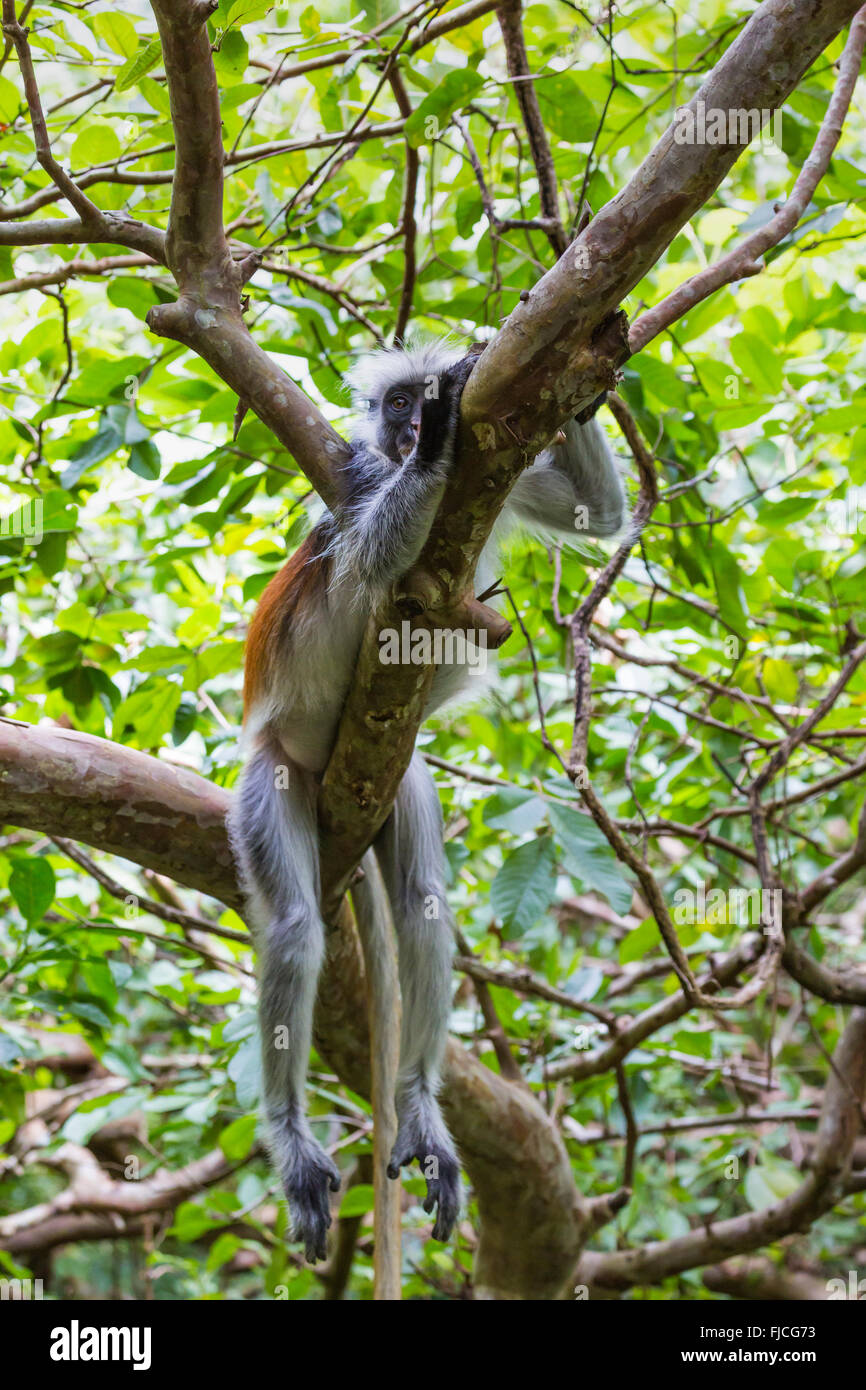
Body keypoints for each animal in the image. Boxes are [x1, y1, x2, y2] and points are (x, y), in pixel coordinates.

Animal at [227, 339, 625, 1262]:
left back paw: (417, 1109)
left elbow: (599, 515)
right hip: (273, 775)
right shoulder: (358, 475)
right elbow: (373, 557)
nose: (414, 425)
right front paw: (442, 440)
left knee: (423, 905)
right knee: (293, 928)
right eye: (399, 404)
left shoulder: (503, 473)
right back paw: (293, 1140)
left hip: (395, 779)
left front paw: (593, 383)